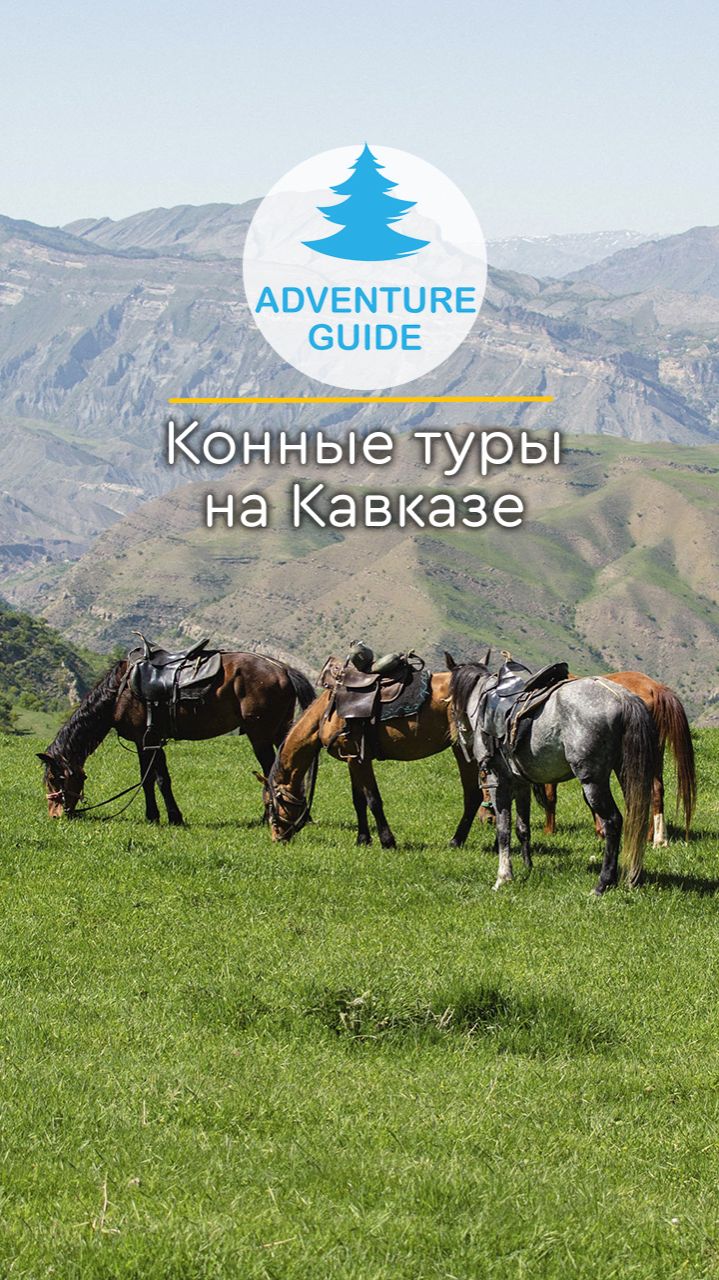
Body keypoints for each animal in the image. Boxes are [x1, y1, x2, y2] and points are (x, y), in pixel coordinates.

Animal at [38, 652, 316, 823]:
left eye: (54, 779)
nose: (55, 814)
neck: (120, 693)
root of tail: (282, 668)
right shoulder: (150, 741)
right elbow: (155, 780)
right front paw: (163, 816)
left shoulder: (146, 740)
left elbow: (155, 780)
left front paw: (163, 816)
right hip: (281, 732)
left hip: (260, 736)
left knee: (271, 771)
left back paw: (270, 817)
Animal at [260, 671, 487, 848]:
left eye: (270, 803)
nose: (276, 838)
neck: (327, 713)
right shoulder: (352, 759)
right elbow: (358, 800)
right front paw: (363, 839)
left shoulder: (360, 760)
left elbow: (373, 800)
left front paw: (387, 841)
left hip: (463, 750)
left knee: (474, 795)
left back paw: (457, 840)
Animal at [450, 661, 659, 894]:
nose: (459, 740)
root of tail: (622, 697)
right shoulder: (521, 784)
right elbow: (522, 828)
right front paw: (528, 866)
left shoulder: (498, 782)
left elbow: (503, 830)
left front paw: (503, 877)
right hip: (626, 774)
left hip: (593, 781)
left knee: (613, 821)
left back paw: (603, 883)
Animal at [540, 672, 696, 845]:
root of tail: (656, 689)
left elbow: (552, 796)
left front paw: (550, 830)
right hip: (653, 756)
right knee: (656, 790)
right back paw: (655, 838)